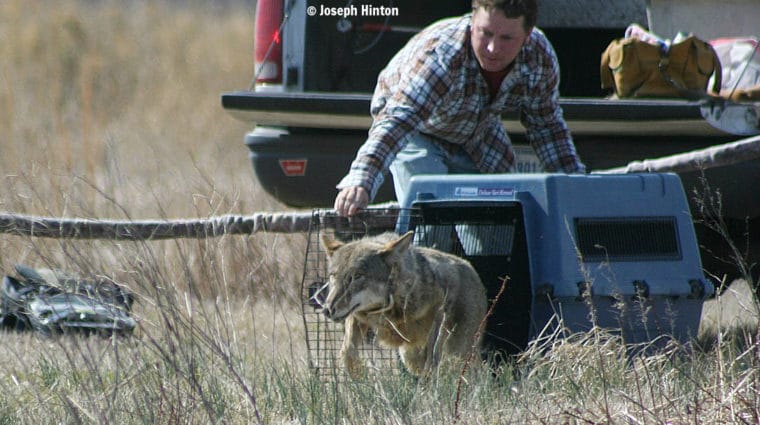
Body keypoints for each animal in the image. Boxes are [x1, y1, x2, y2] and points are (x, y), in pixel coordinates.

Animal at [320, 230, 488, 377]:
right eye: (333, 276)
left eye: (357, 276)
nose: (327, 309)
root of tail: (471, 268)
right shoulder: (357, 317)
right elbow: (347, 351)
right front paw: (355, 377)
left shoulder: (437, 311)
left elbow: (432, 359)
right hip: (409, 356)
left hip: (459, 351)